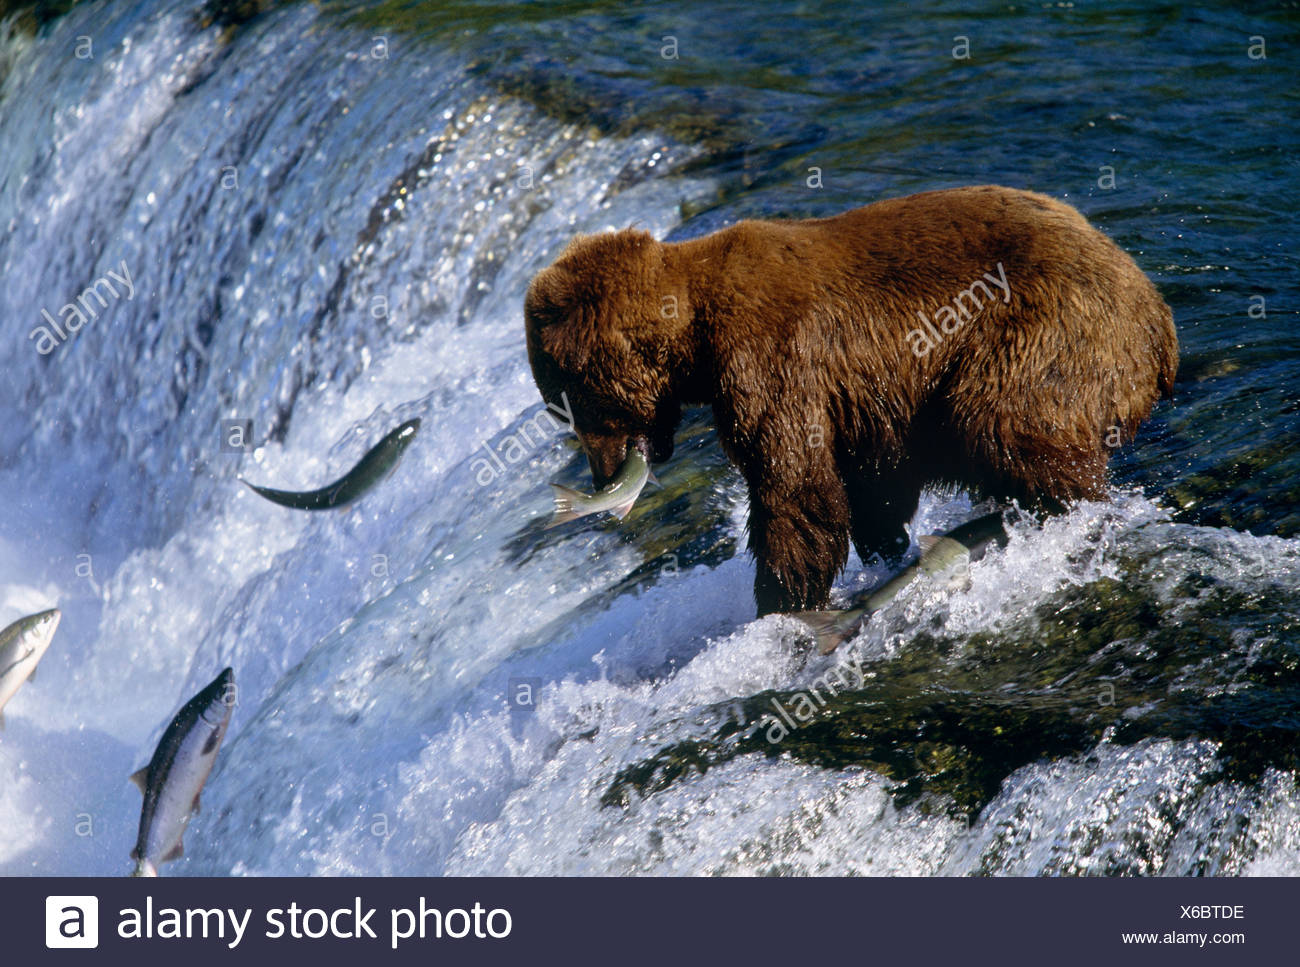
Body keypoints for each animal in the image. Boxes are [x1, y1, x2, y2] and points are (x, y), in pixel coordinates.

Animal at [524, 185, 1177, 615]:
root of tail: (1160, 322)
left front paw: (779, 601)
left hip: (1044, 326)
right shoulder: (863, 404)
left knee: (1003, 425)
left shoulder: (773, 358)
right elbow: (868, 483)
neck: (693, 335)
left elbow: (796, 489)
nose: (602, 475)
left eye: (570, 408)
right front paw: (881, 548)